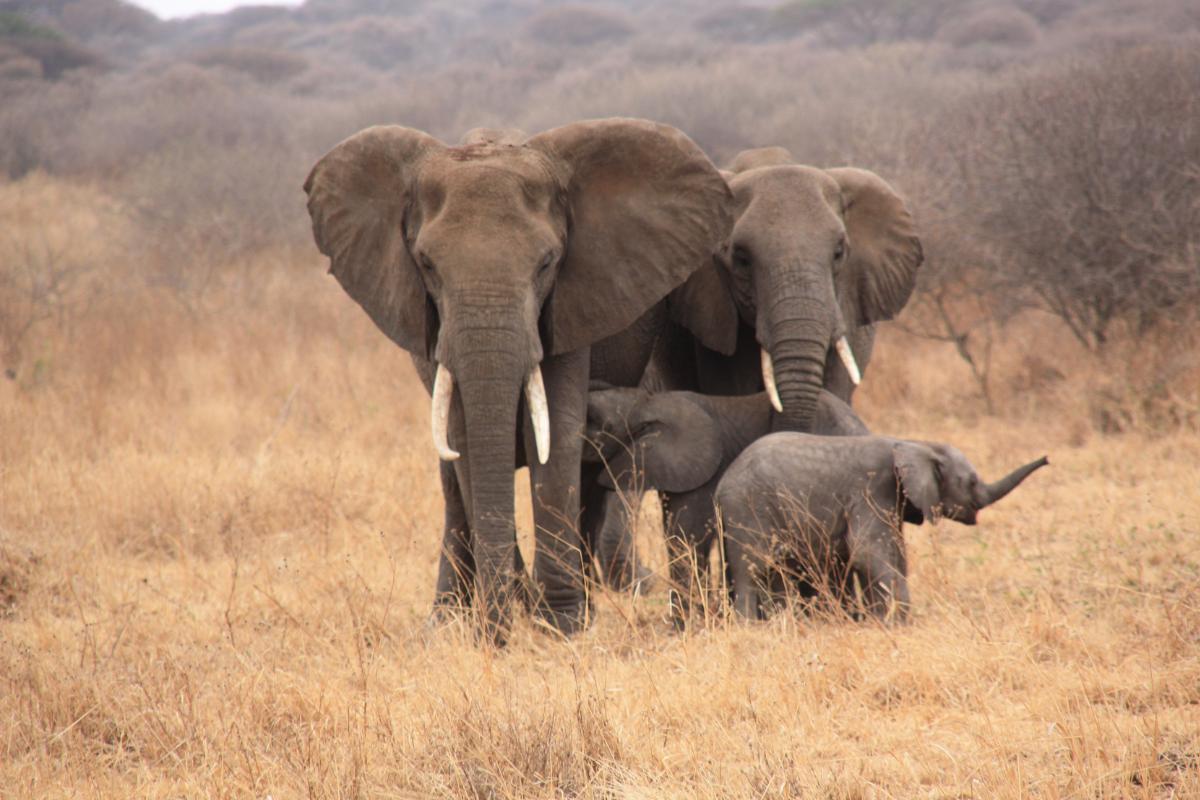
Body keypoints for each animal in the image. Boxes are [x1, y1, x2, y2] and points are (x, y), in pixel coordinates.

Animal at [303, 118, 731, 643]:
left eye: (547, 262)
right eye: (426, 265)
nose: (500, 629)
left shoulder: (571, 300)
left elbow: (559, 437)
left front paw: (562, 626)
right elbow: (466, 441)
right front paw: (507, 623)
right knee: (451, 482)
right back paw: (444, 622)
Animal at [715, 433, 1049, 622]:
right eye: (972, 482)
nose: (1046, 458)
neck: (916, 443)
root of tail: (720, 486)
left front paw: (878, 620)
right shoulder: (873, 490)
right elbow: (866, 552)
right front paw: (897, 622)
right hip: (748, 509)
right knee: (754, 568)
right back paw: (752, 627)